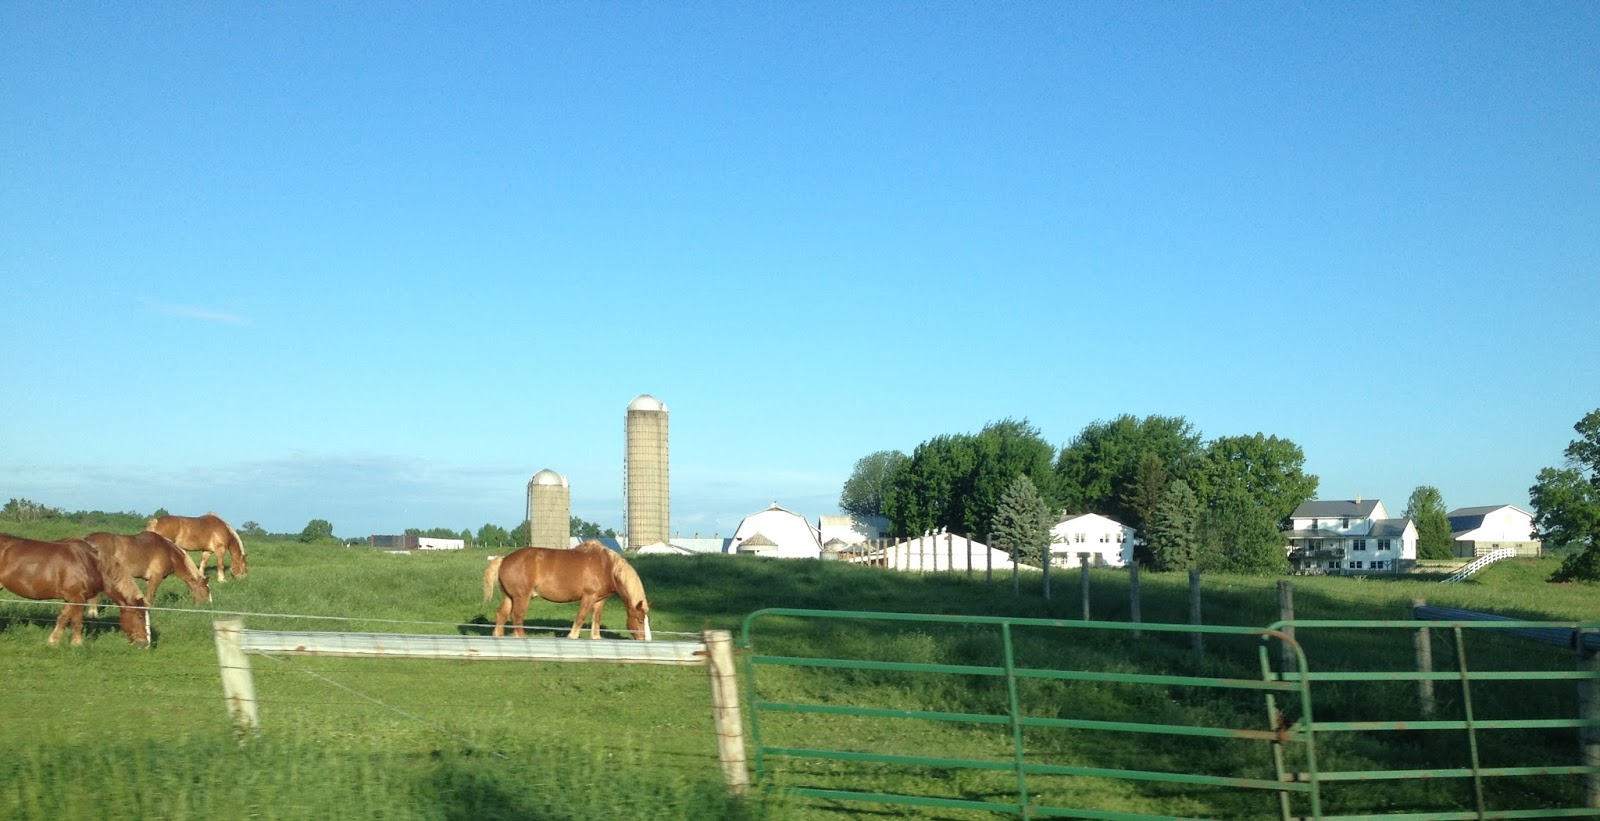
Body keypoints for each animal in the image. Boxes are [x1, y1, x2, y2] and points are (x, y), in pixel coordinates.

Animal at [0, 534, 152, 647]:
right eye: (140, 616)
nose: (144, 643)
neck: (90, 562)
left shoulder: (70, 598)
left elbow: (63, 618)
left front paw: (53, 642)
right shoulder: (78, 598)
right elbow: (77, 621)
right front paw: (77, 644)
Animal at [482, 541, 652, 640]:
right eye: (639, 620)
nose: (646, 640)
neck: (607, 567)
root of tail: (504, 559)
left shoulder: (600, 600)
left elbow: (596, 618)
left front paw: (596, 638)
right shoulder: (589, 597)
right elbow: (581, 616)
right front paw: (573, 636)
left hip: (509, 597)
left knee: (501, 614)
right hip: (521, 597)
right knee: (517, 616)